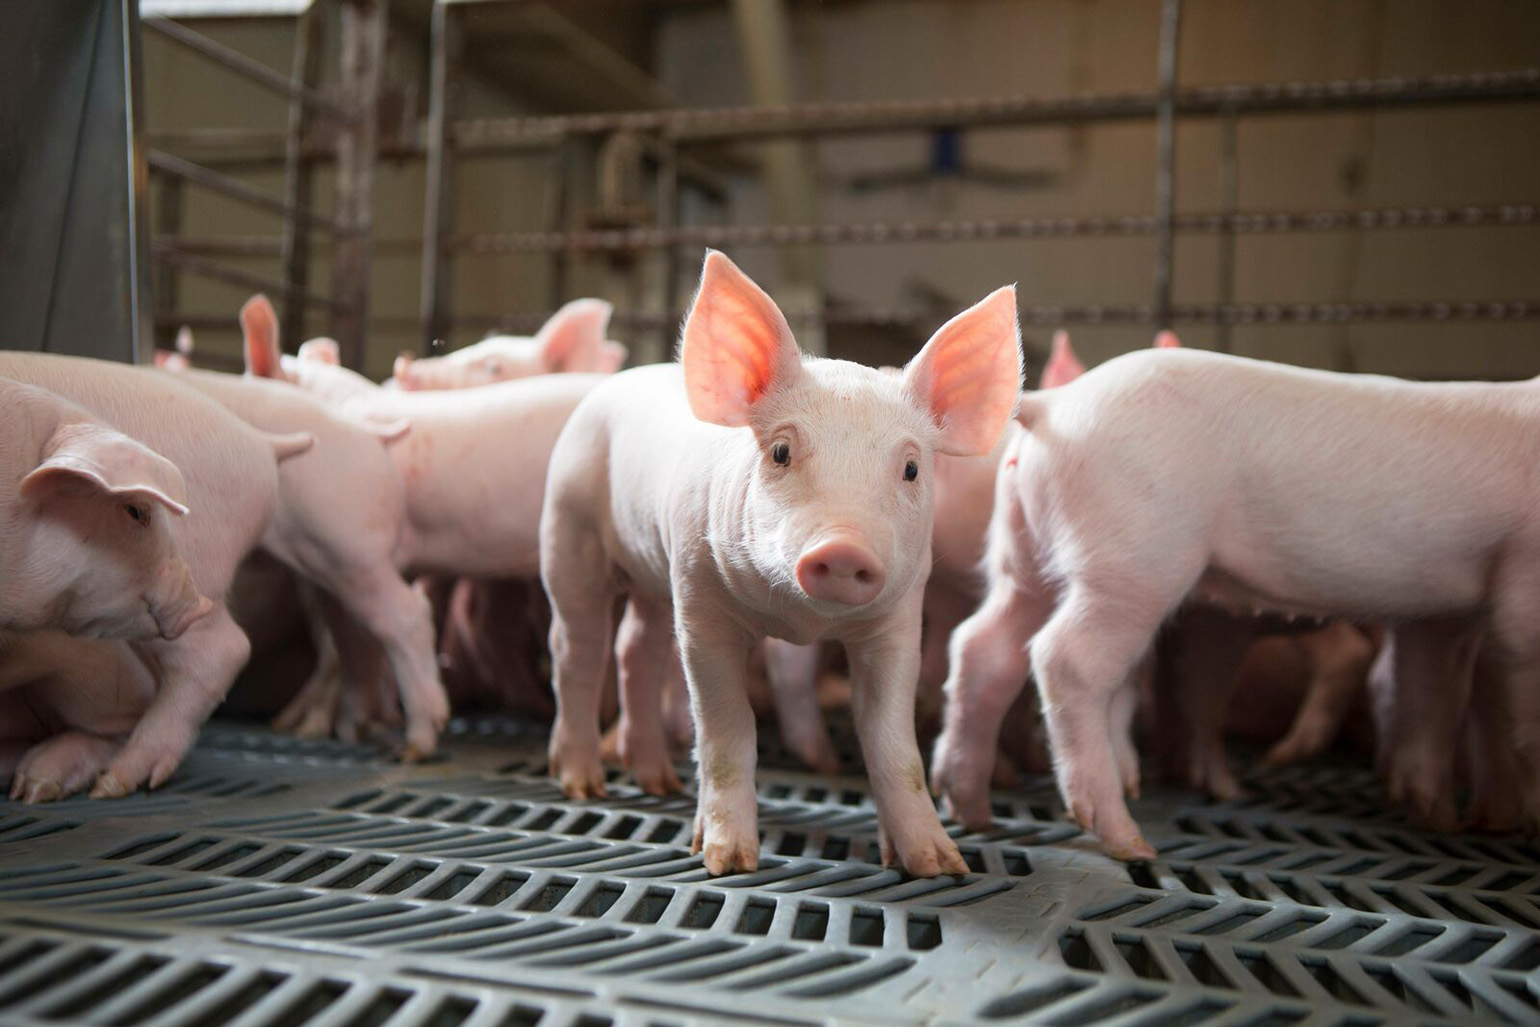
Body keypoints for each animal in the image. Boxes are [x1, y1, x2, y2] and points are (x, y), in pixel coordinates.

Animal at [540, 250, 1021, 875]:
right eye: (781, 452)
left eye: (912, 468)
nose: (842, 547)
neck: (799, 622)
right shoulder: (701, 604)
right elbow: (727, 728)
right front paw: (726, 862)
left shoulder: (897, 622)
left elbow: (892, 743)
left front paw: (941, 865)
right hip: (567, 525)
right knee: (576, 648)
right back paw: (582, 785)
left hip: (652, 577)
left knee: (634, 650)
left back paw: (659, 783)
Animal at [934, 347, 1540, 859]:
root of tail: (1054, 405)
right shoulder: (1520, 580)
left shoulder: (1441, 614)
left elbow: (1429, 697)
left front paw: (1438, 820)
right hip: (1131, 557)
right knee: (1063, 658)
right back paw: (1130, 841)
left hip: (1025, 558)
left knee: (982, 647)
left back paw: (970, 809)